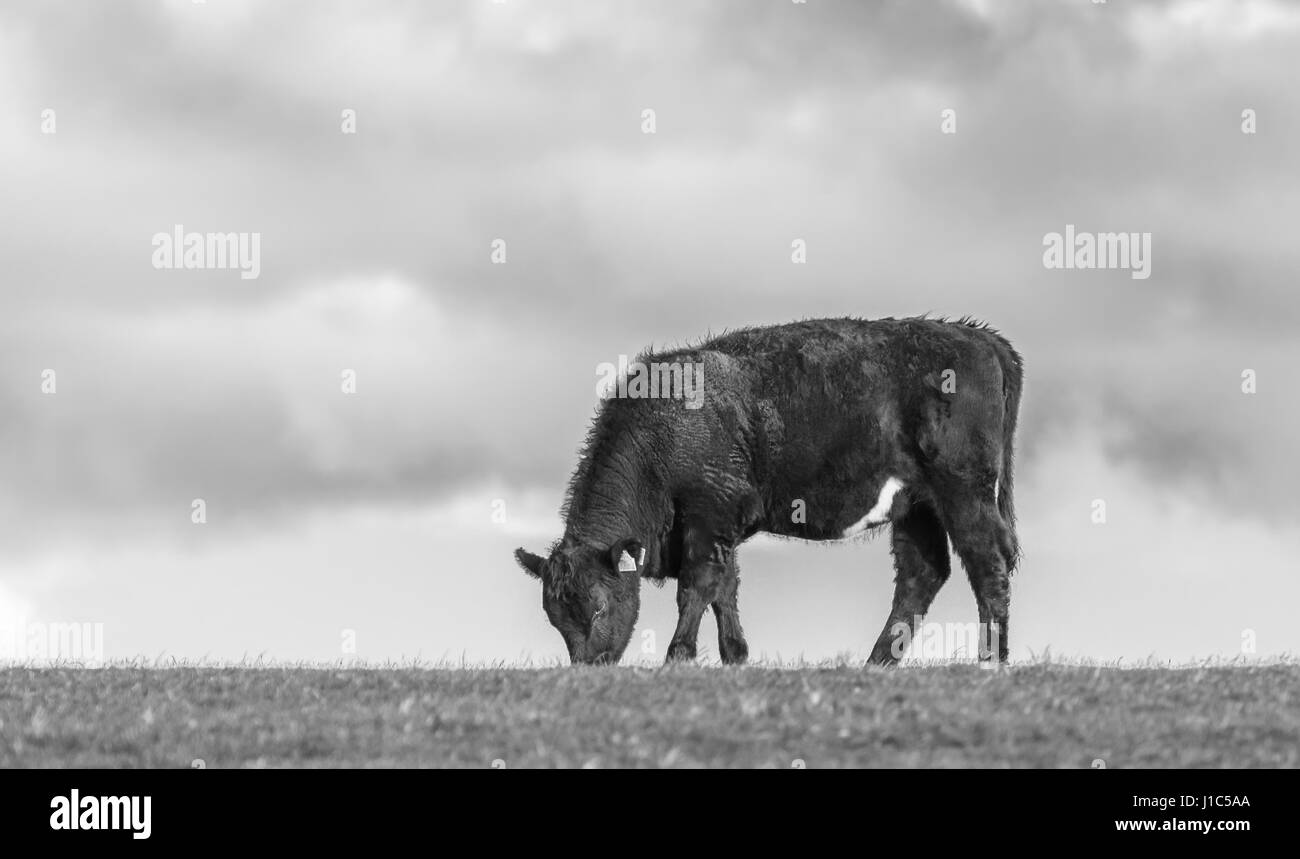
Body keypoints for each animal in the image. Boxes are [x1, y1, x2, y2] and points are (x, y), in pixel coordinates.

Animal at [515, 316, 1023, 666]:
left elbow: (697, 587)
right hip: (916, 506)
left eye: (599, 608)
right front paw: (735, 656)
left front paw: (678, 656)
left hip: (964, 491)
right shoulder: (718, 529)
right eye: (554, 617)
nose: (588, 667)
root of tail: (979, 337)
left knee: (986, 562)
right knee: (922, 575)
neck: (661, 433)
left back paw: (990, 660)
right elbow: (725, 590)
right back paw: (875, 663)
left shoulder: (709, 515)